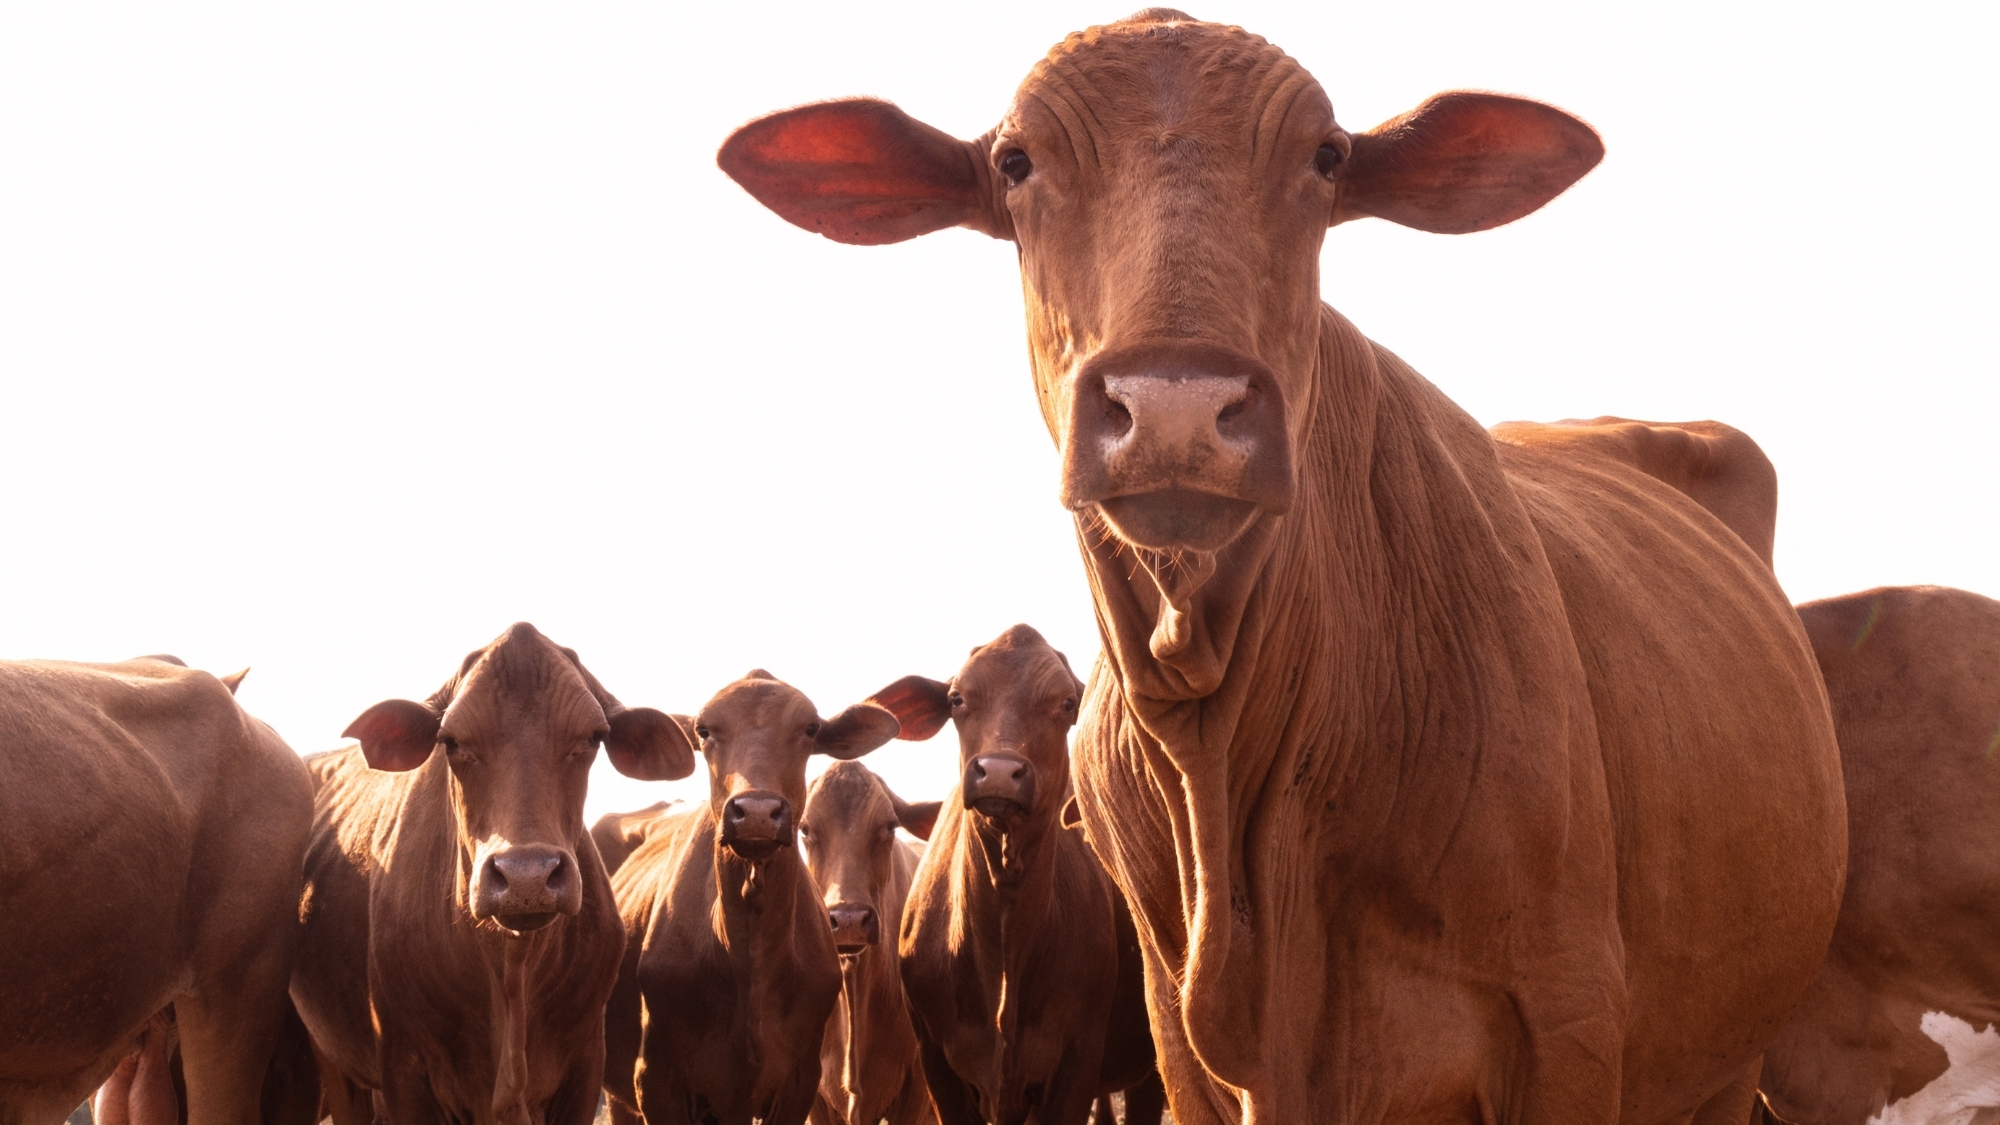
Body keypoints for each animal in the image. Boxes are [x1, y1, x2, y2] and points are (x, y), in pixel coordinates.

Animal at [288, 622, 694, 1125]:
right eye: (451, 741)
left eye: (593, 736)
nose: (526, 877)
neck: (510, 968)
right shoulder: (404, 1072)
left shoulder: (584, 1068)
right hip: (336, 1063)